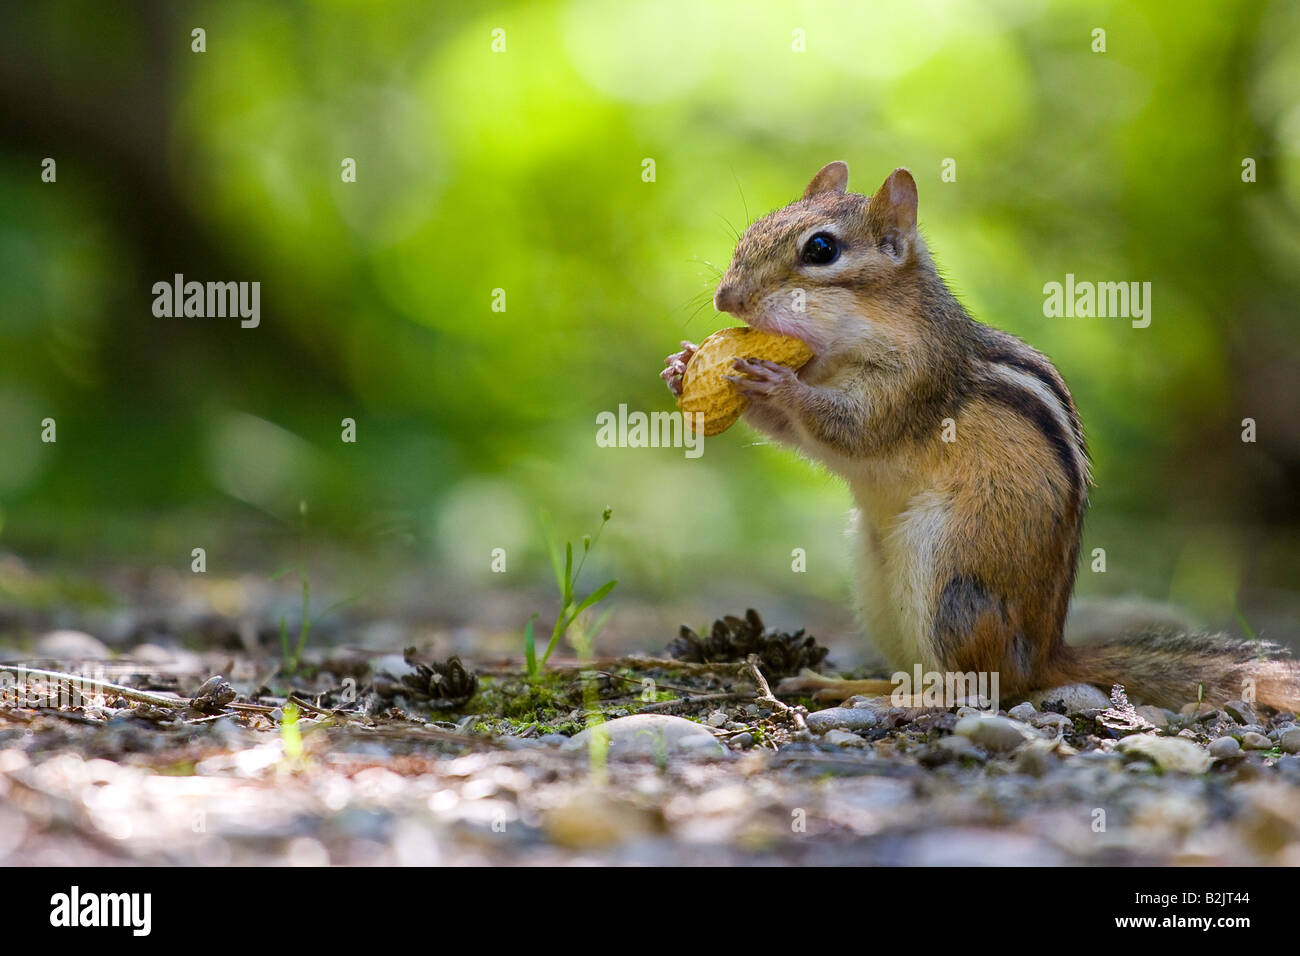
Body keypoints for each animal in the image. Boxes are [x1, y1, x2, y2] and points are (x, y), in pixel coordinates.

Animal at [663, 161, 1300, 712]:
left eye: (821, 249)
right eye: (754, 228)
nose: (725, 298)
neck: (846, 346)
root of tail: (1046, 656)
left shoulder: (916, 385)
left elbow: (851, 429)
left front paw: (780, 384)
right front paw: (683, 365)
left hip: (949, 574)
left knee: (982, 688)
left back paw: (908, 701)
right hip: (875, 581)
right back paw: (849, 686)